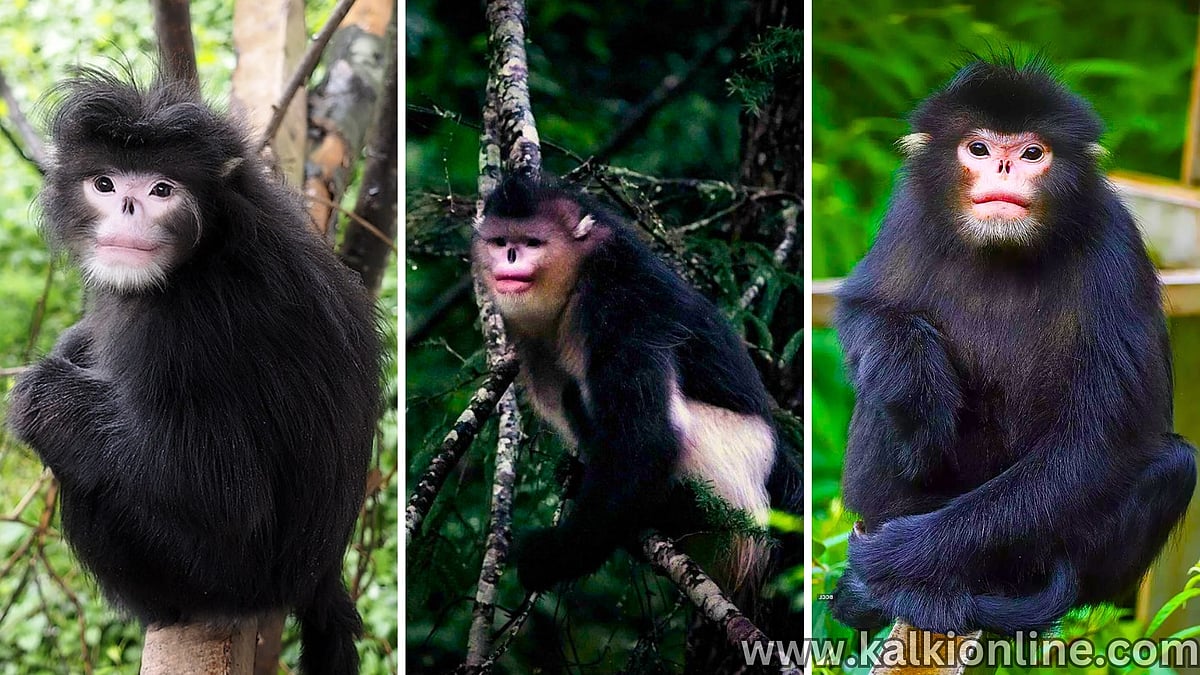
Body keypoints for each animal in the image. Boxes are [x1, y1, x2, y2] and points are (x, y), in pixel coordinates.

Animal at [6, 68, 381, 674]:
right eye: (105, 184)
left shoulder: (192, 326)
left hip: (215, 576)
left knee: (89, 479)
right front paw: (75, 341)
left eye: (162, 190)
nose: (128, 209)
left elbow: (221, 491)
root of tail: (317, 575)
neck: (211, 242)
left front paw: (37, 396)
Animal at [471, 174, 801, 596]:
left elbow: (647, 440)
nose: (510, 257)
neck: (578, 277)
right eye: (501, 242)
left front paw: (552, 558)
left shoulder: (620, 306)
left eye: (531, 242)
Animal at [829, 57, 1197, 636]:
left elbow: (1095, 445)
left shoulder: (1113, 241)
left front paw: (898, 556)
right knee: (881, 390)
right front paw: (916, 377)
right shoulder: (910, 212)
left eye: (1031, 153)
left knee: (1176, 463)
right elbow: (862, 309)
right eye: (979, 149)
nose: (1003, 169)